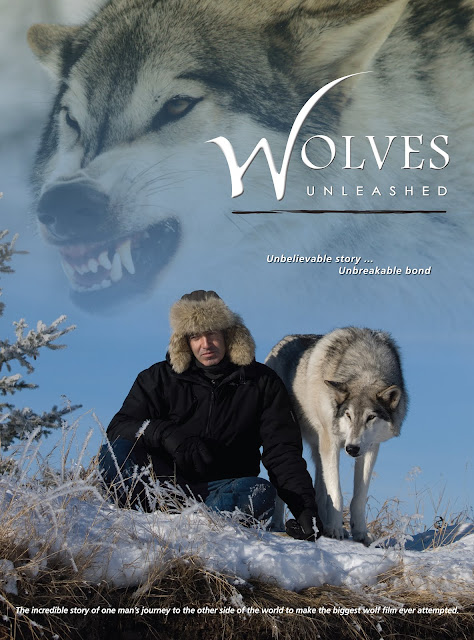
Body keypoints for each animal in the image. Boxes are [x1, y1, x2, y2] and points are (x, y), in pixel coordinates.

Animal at [265, 328, 407, 545]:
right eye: (348, 415)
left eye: (371, 417)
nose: (351, 449)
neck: (365, 368)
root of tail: (282, 340)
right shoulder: (331, 442)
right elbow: (337, 493)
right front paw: (335, 530)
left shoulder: (370, 449)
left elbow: (359, 497)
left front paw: (360, 533)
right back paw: (278, 524)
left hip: (318, 450)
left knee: (319, 487)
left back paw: (321, 523)